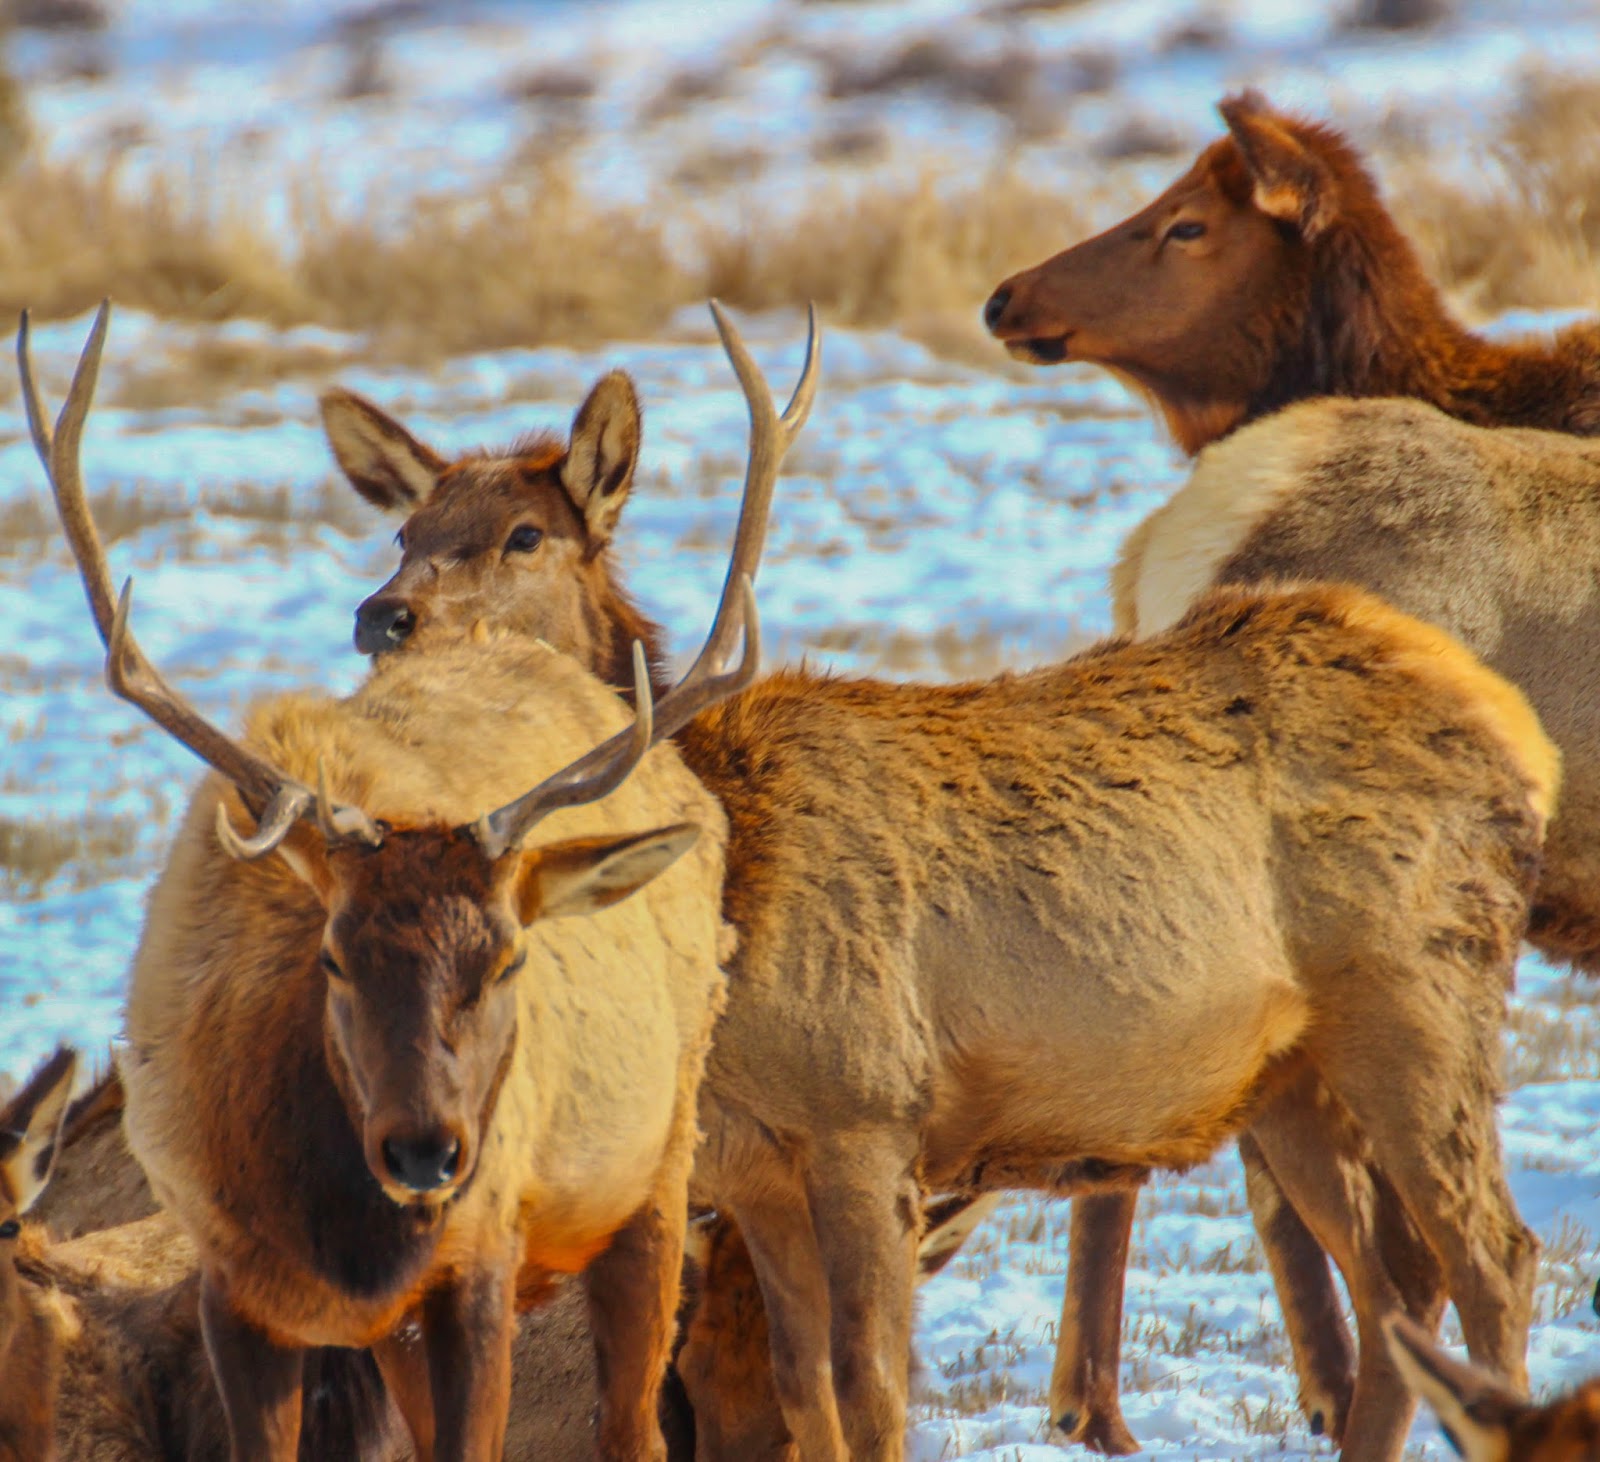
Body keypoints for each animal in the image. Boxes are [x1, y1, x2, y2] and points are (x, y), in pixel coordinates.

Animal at [22, 302, 787, 1462]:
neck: (340, 1229)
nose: (428, 1150)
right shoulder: (236, 1281)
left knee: (635, 1423)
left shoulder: (477, 1260)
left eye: (511, 960)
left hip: (652, 1172)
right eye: (332, 958)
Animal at [317, 356, 1556, 1462]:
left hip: (1418, 995)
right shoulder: (753, 1170)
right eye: (406, 530)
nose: (380, 616)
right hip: (1291, 1071)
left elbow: (871, 1388)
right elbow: (802, 1388)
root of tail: (1515, 739)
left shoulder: (870, 1110)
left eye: (524, 535)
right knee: (1400, 1281)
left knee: (1495, 1255)